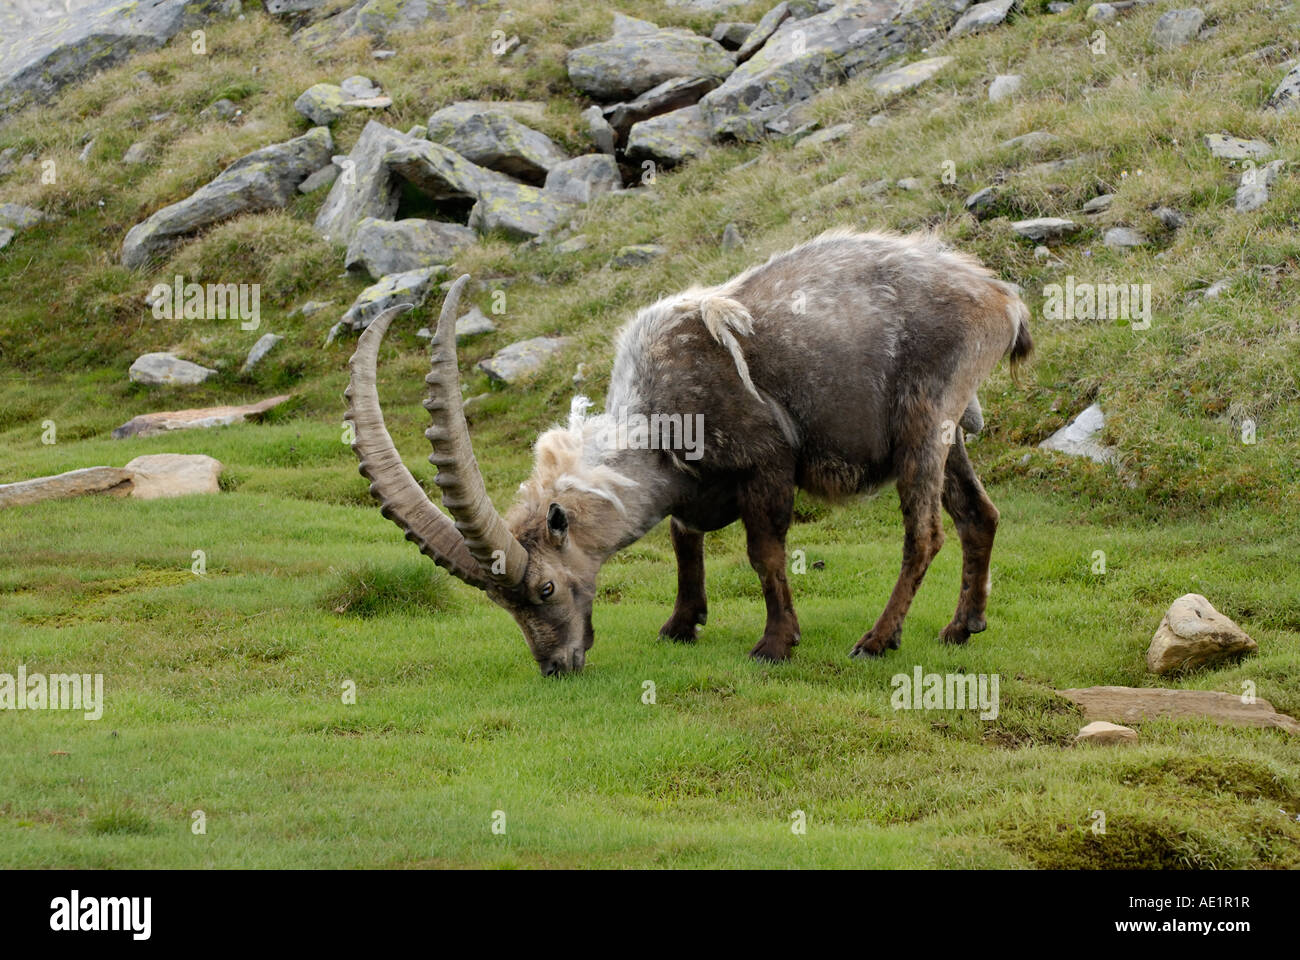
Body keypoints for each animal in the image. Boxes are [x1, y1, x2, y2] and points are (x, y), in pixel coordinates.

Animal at [346, 228, 1031, 675]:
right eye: (501, 600)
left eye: (543, 588)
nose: (557, 666)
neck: (656, 421)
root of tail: (1001, 298)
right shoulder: (693, 490)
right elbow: (683, 540)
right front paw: (680, 625)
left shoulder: (766, 463)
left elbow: (764, 554)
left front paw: (775, 644)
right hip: (951, 434)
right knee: (980, 515)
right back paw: (962, 627)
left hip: (924, 421)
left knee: (925, 534)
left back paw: (877, 640)